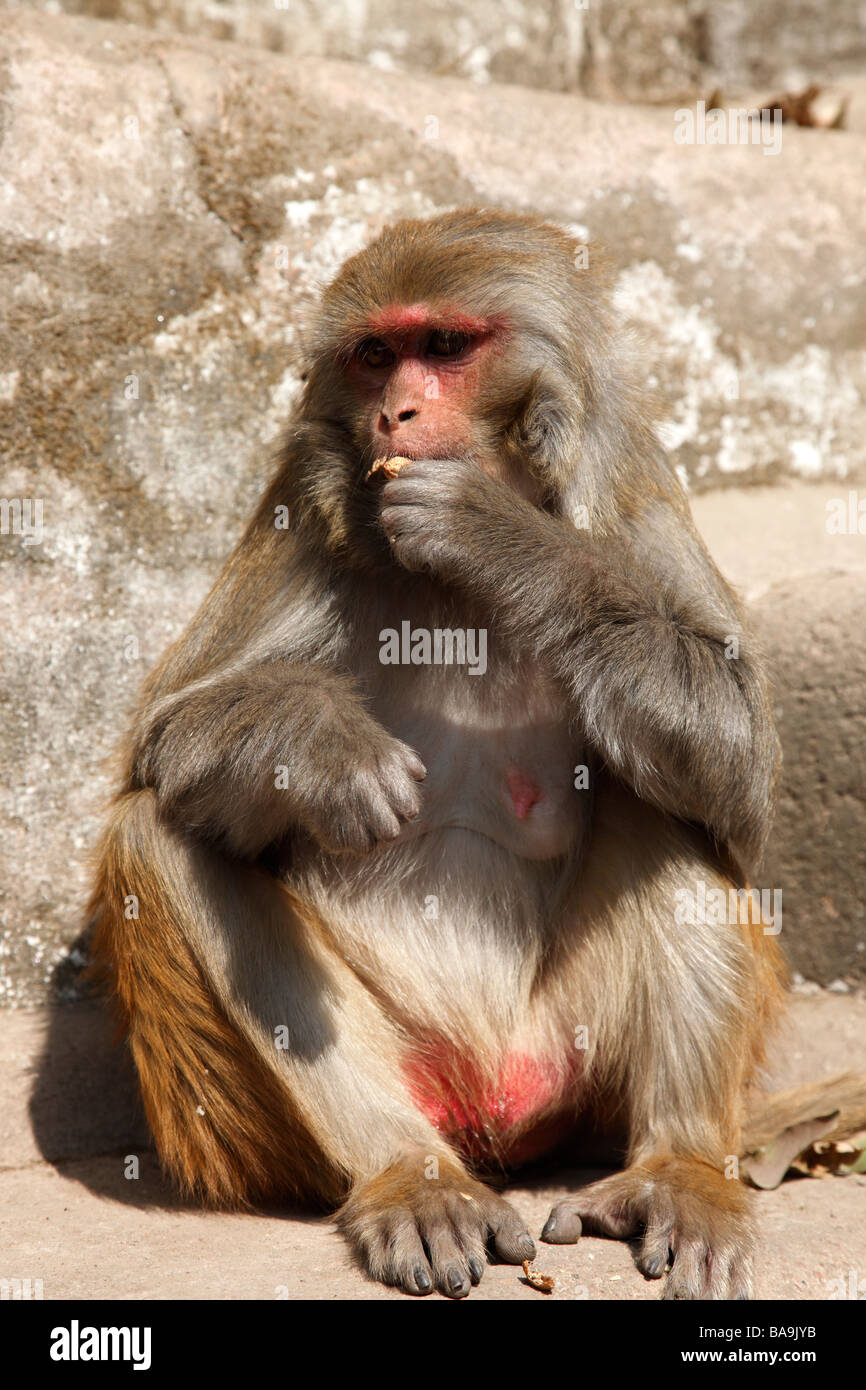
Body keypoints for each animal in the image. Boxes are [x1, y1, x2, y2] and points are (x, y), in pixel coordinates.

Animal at [89, 207, 866, 1300]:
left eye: (447, 345)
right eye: (376, 355)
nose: (397, 414)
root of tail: (496, 1106)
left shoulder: (622, 493)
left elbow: (739, 766)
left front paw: (505, 541)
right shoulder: (299, 505)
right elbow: (160, 744)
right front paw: (322, 749)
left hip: (575, 1057)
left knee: (662, 793)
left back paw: (675, 1171)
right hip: (289, 1121)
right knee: (156, 837)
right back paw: (411, 1179)